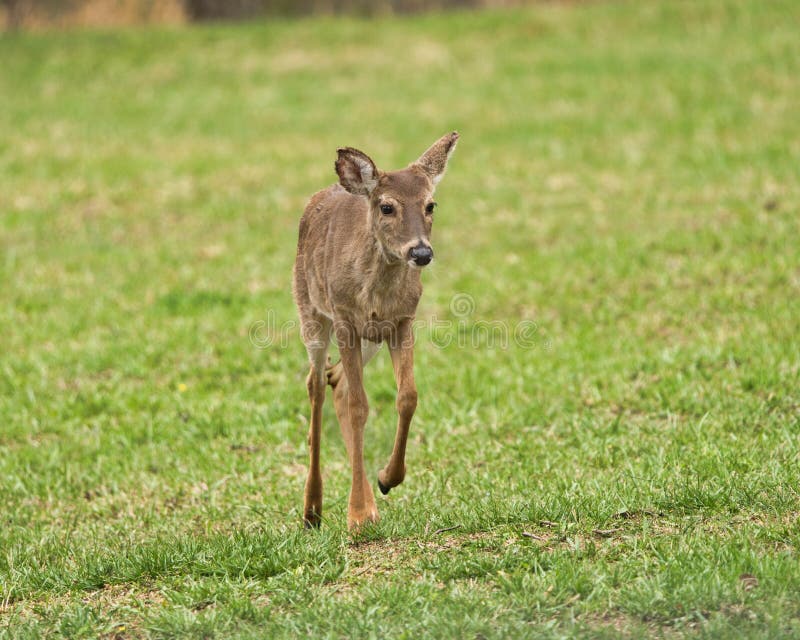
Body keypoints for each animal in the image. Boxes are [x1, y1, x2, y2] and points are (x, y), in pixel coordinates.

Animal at [292, 132, 459, 530]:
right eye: (386, 207)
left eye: (431, 204)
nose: (421, 253)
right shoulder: (344, 319)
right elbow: (359, 406)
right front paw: (356, 515)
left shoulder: (402, 321)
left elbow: (407, 396)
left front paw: (387, 478)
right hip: (311, 311)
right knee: (315, 384)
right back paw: (312, 508)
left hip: (371, 338)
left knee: (337, 382)